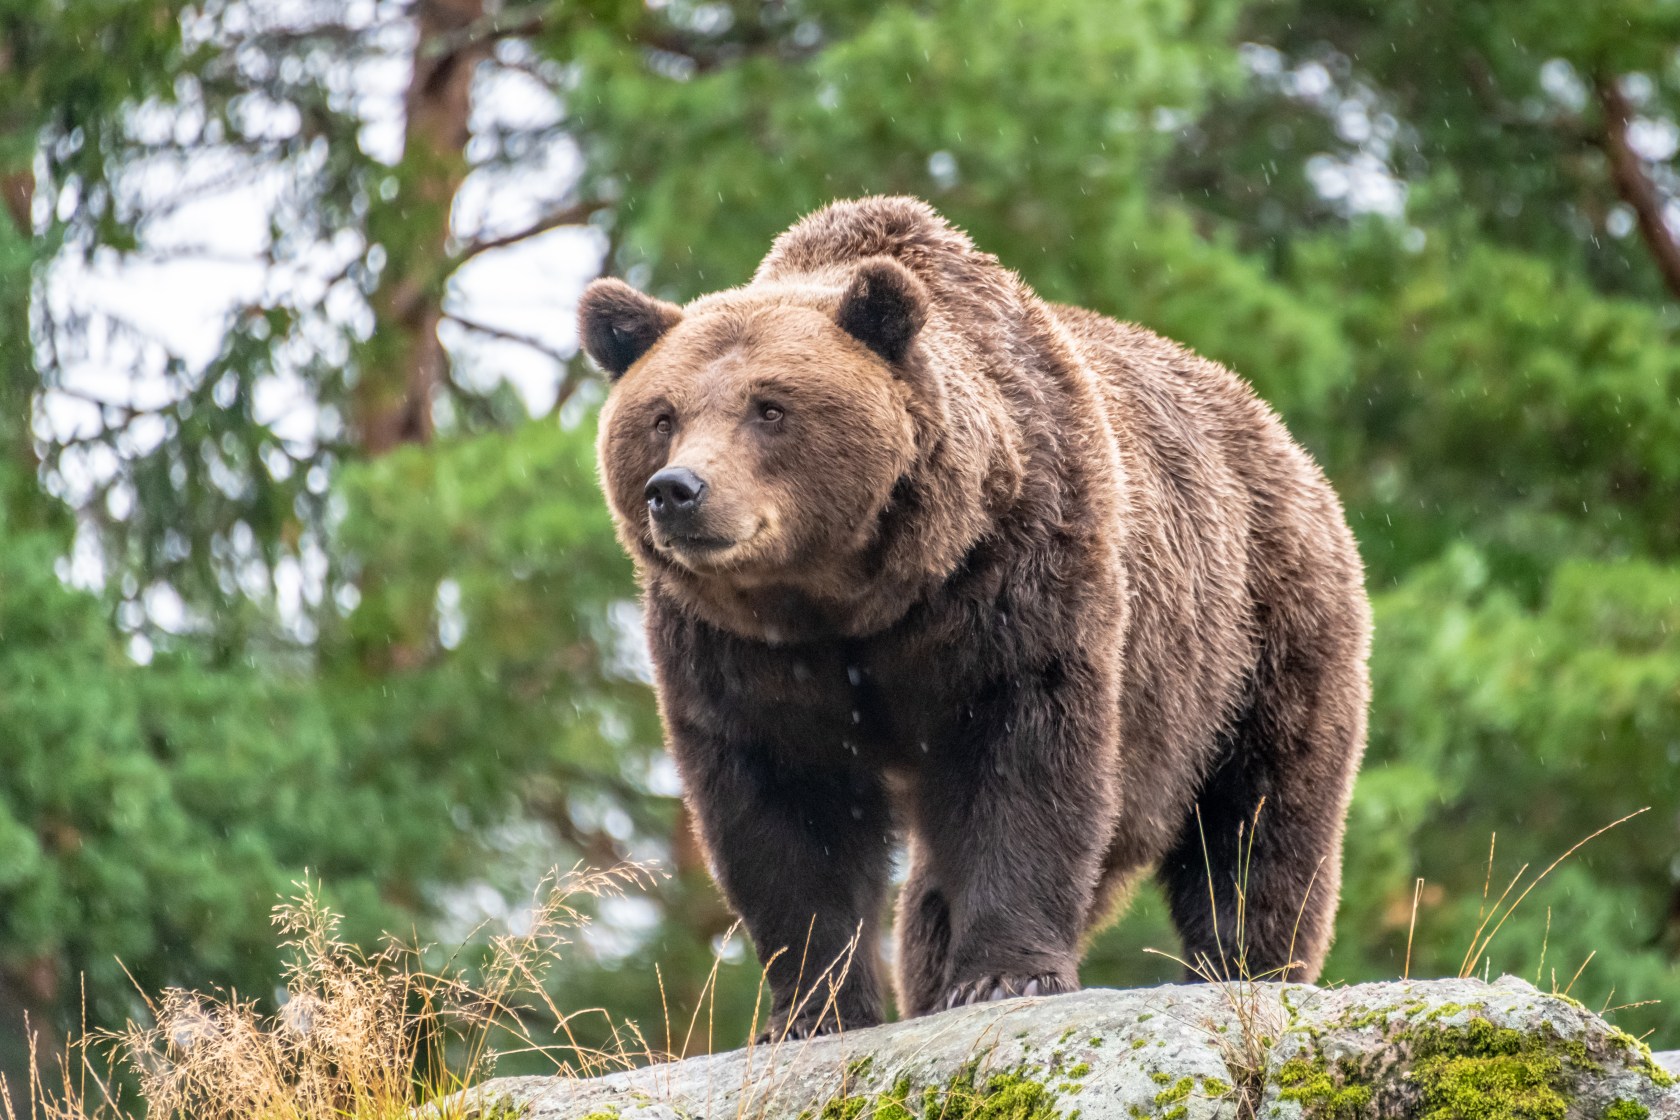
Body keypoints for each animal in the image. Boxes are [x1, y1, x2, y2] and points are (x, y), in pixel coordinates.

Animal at [580, 196, 1370, 1039]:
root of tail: (1274, 429)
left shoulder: (1018, 582)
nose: (678, 490)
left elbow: (1026, 763)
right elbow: (784, 809)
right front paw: (811, 1011)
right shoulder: (737, 653)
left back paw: (1245, 967)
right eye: (662, 416)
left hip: (1255, 634)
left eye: (770, 407)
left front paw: (1003, 976)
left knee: (1259, 816)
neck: (851, 597)